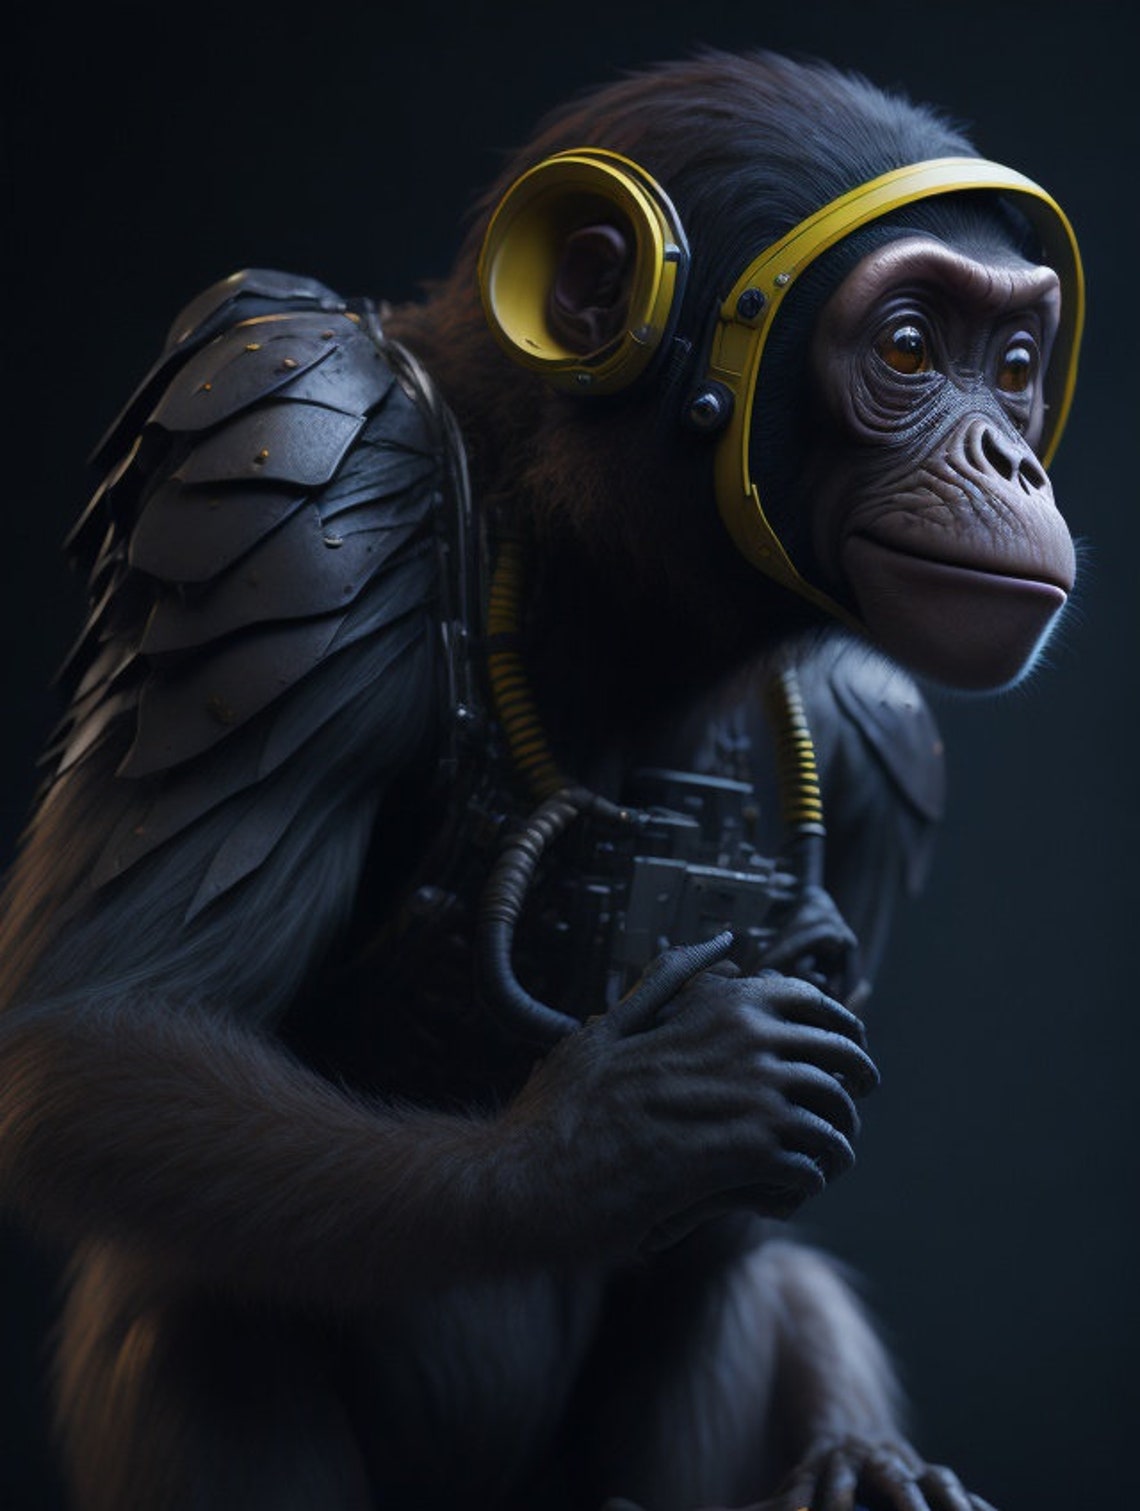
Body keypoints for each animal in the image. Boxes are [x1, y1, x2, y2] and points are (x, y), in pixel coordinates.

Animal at [0, 49, 1081, 1511]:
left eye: (1016, 366)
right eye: (911, 348)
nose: (1011, 457)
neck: (605, 561)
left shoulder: (877, 744)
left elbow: (738, 1239)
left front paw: (860, 1453)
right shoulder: (294, 466)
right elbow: (99, 1040)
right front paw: (627, 1128)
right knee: (200, 1302)